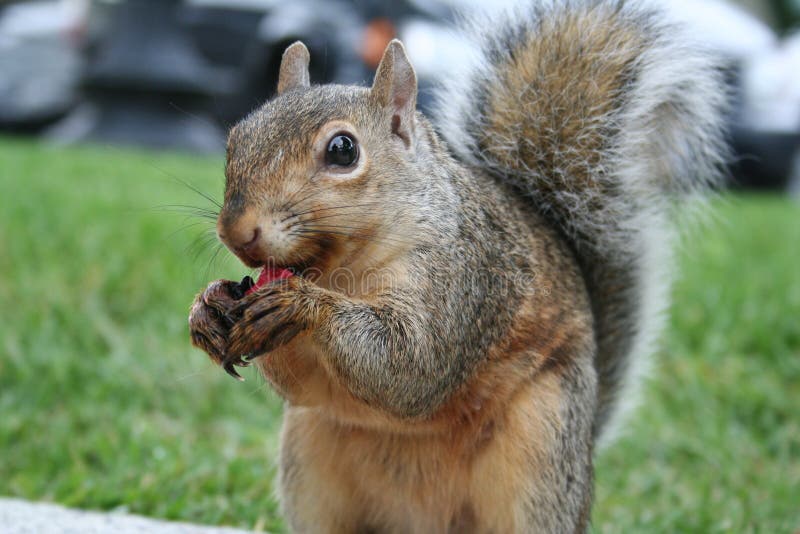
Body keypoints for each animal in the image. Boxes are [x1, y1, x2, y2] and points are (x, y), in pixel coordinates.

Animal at [188, 1, 727, 531]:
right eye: (235, 138)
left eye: (343, 150)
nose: (237, 230)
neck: (344, 272)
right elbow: (301, 383)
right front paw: (209, 307)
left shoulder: (463, 277)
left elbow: (411, 365)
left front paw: (301, 306)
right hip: (310, 464)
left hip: (541, 448)